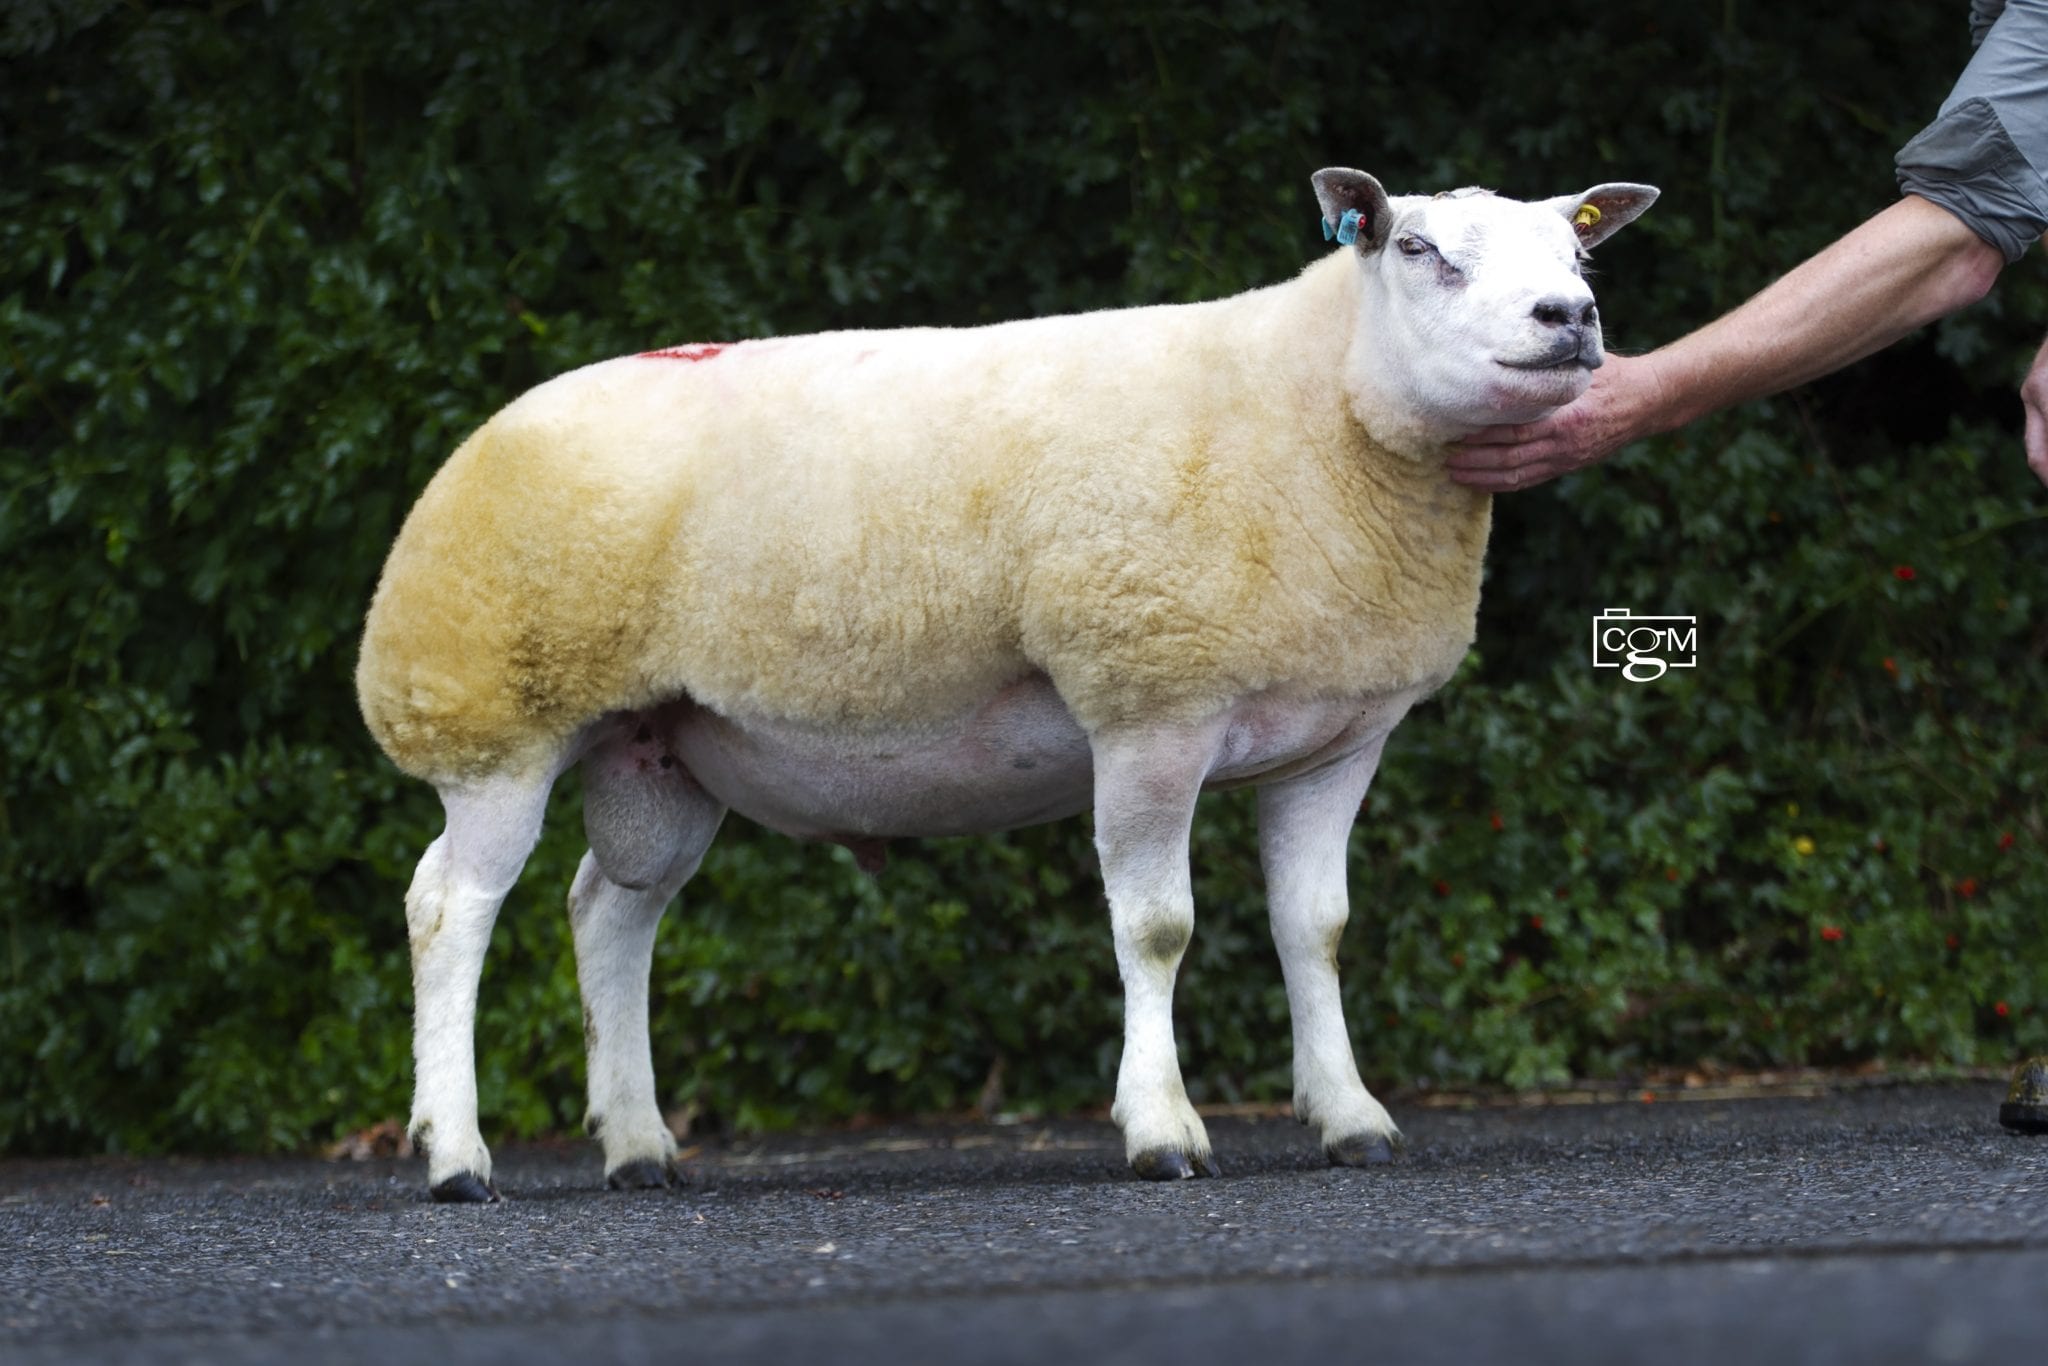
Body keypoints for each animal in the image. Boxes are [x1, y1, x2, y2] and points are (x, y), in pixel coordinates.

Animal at [356, 168, 1658, 1201]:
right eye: (1416, 248)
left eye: (1577, 248)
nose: (1570, 318)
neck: (1316, 407)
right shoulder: (1146, 704)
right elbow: (1157, 928)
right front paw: (1162, 1129)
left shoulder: (1336, 738)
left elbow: (1316, 929)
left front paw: (1349, 1117)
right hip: (491, 718)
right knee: (448, 909)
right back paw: (457, 1155)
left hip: (657, 743)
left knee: (609, 912)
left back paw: (635, 1144)